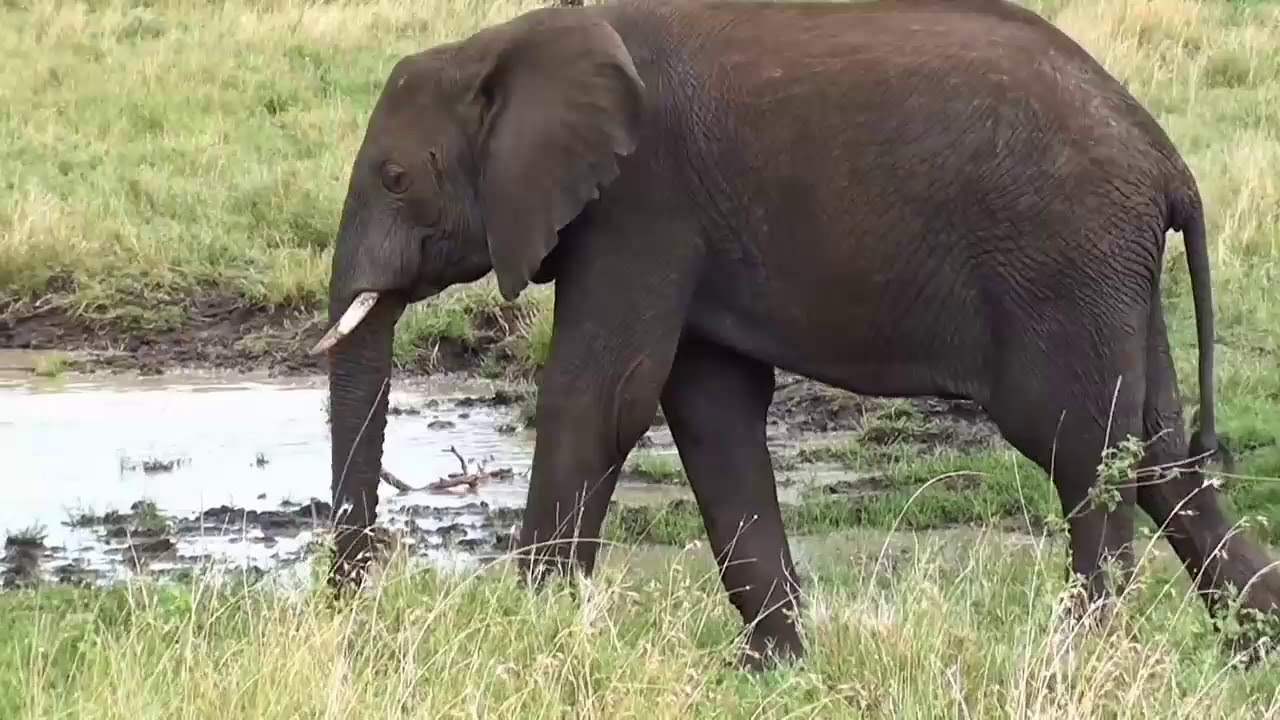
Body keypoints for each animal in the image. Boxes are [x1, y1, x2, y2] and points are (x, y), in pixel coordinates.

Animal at [310, 0, 1280, 668]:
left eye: (395, 178)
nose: (352, 606)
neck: (506, 41)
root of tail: (1167, 162)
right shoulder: (682, 225)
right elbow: (710, 411)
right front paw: (770, 671)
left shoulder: (640, 202)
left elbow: (603, 397)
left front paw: (531, 633)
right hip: (1111, 277)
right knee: (1157, 457)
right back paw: (1251, 655)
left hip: (1066, 265)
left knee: (1086, 452)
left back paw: (1080, 662)